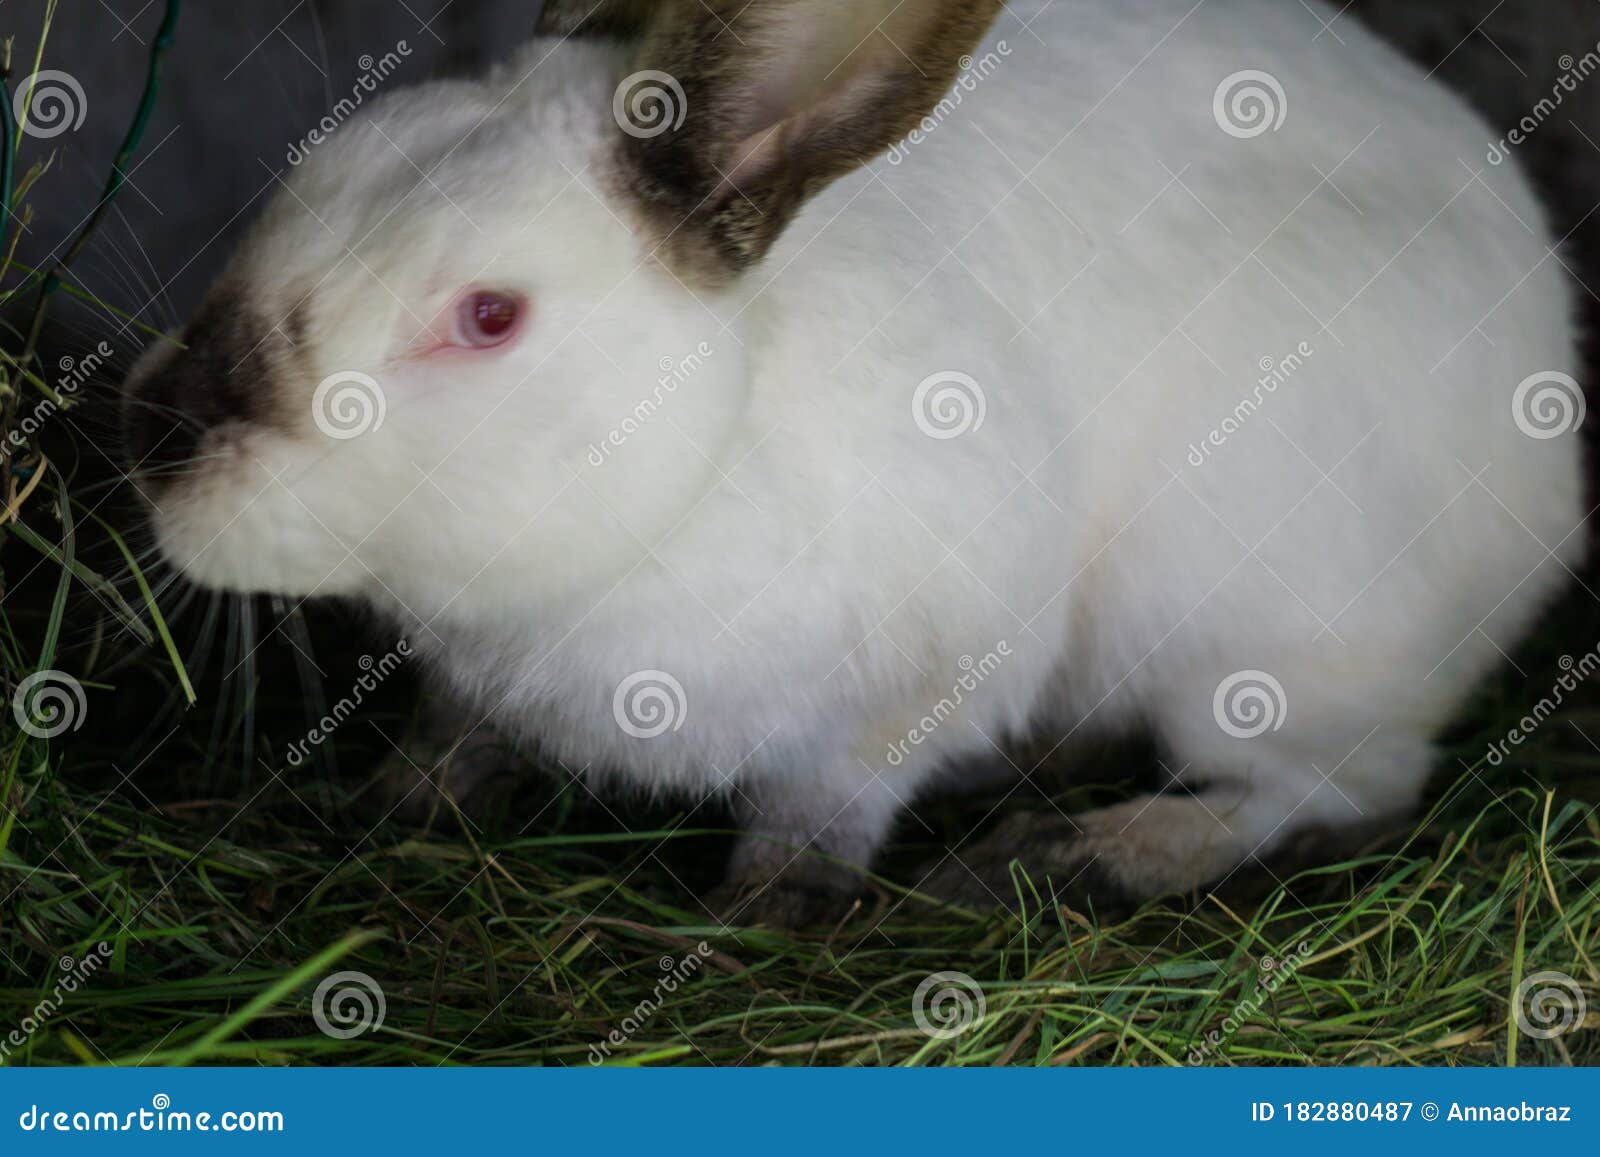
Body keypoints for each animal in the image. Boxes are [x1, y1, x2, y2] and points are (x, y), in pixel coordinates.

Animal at [122, 0, 1586, 927]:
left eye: (489, 315)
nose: (158, 433)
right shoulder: (476, 677)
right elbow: (454, 731)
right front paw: (395, 797)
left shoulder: (915, 678)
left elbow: (824, 804)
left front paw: (759, 911)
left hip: (1252, 640)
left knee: (1338, 784)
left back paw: (1072, 856)